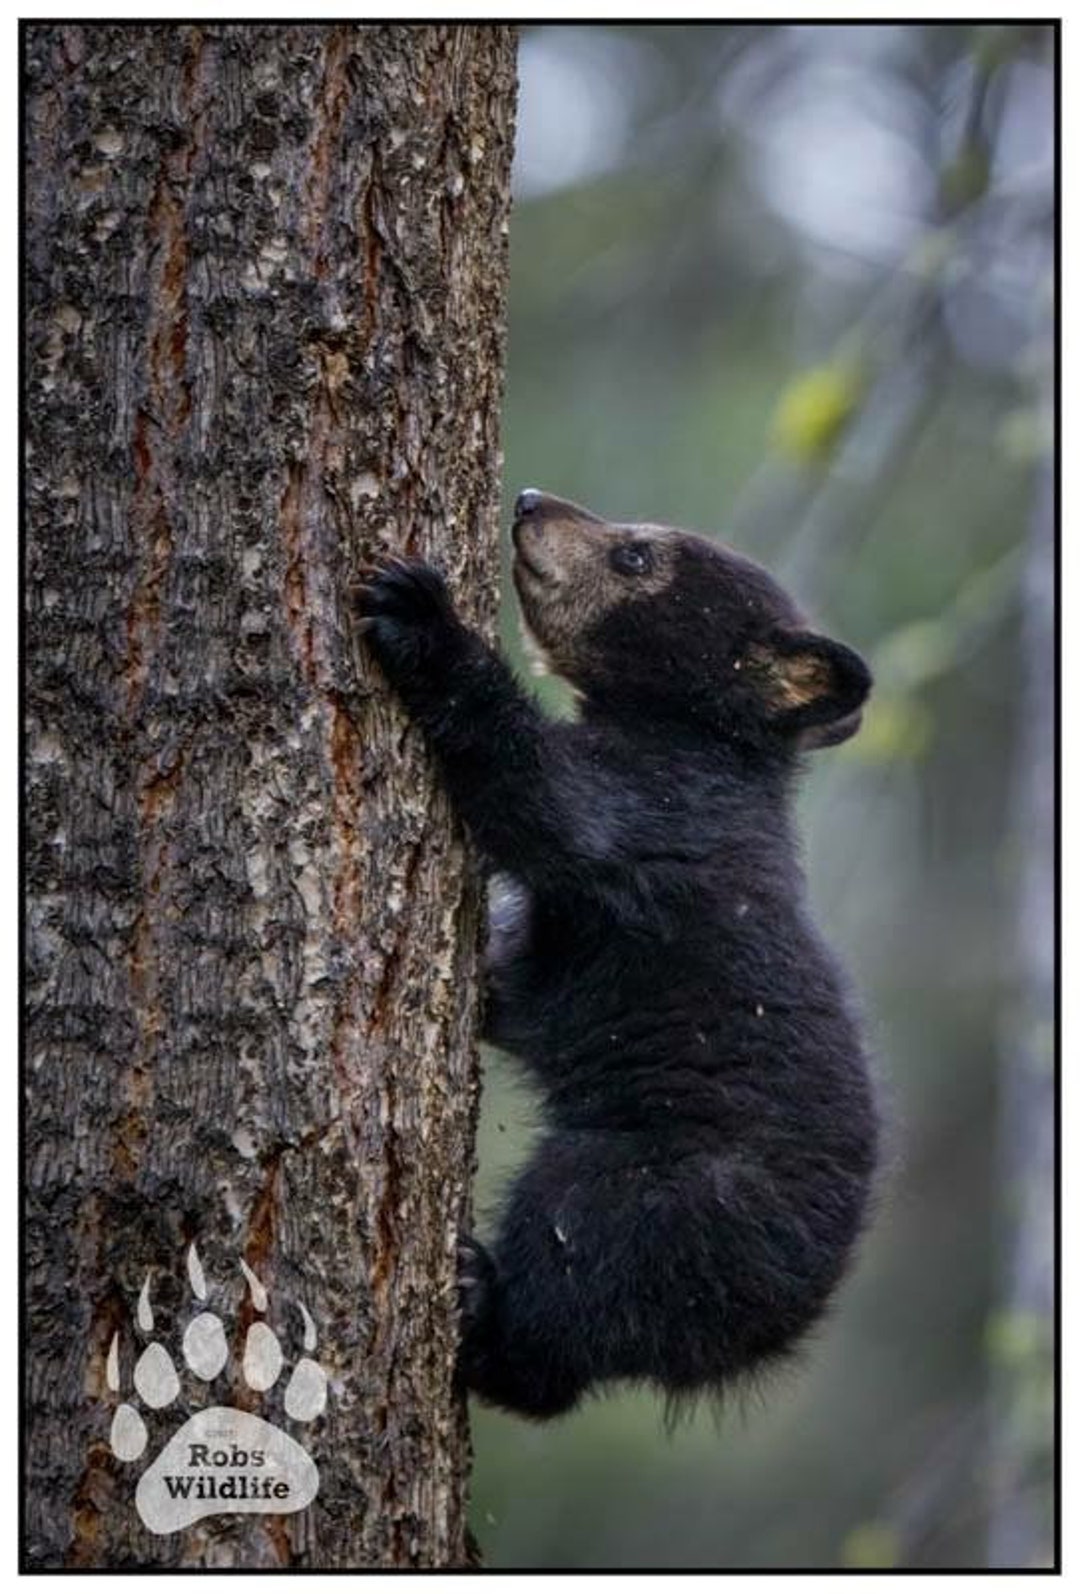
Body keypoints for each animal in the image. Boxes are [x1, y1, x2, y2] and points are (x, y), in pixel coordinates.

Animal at [357, 488, 879, 1420]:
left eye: (637, 555)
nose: (529, 503)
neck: (694, 737)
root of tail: (763, 1337)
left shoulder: (650, 810)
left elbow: (542, 793)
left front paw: (420, 615)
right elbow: (519, 981)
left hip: (648, 1190)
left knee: (570, 1280)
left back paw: (482, 1302)